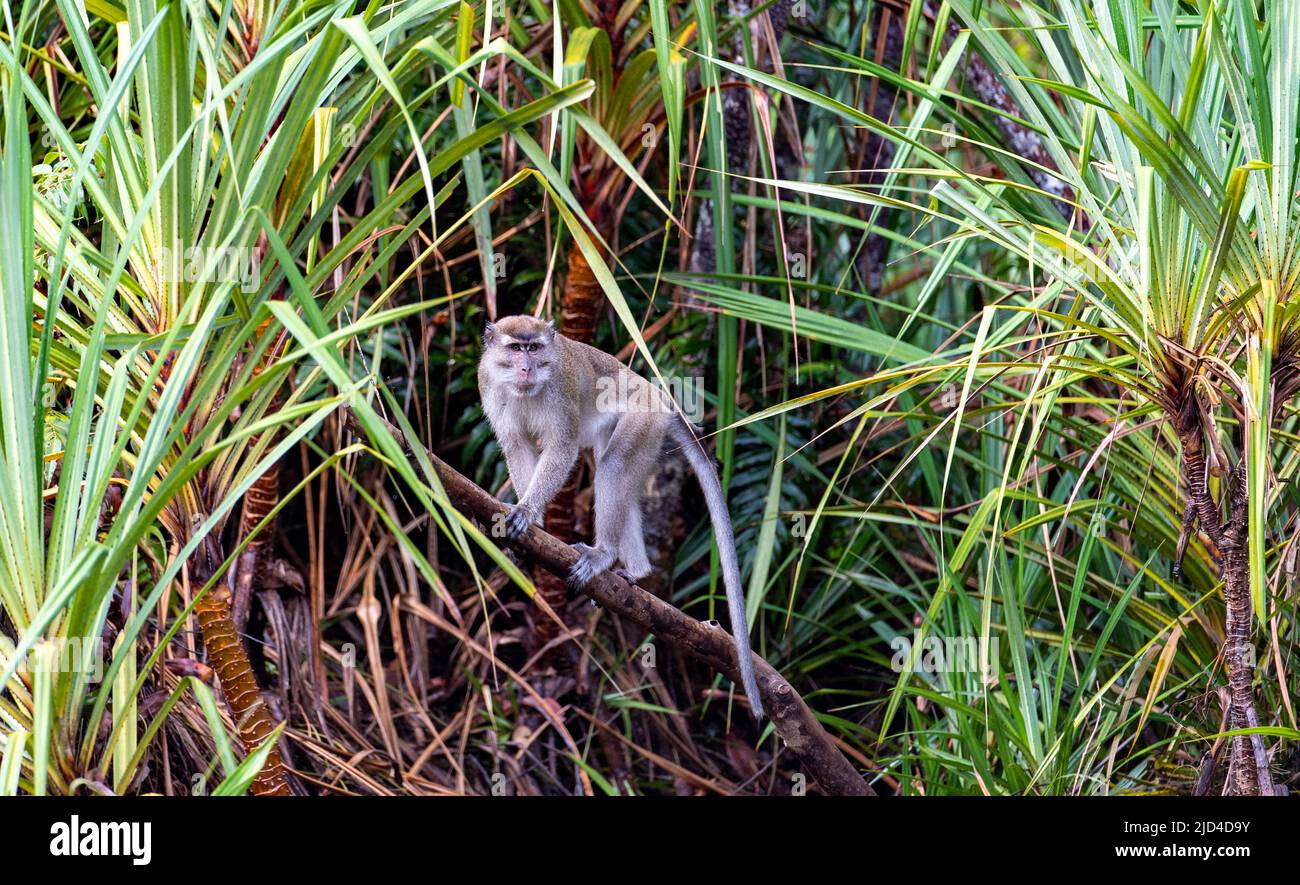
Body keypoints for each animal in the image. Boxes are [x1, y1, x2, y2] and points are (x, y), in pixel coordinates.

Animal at [478, 315, 764, 718]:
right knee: (613, 471)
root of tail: (658, 396)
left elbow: (562, 449)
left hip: (645, 420)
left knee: (612, 467)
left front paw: (527, 511)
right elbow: (517, 445)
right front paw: (531, 527)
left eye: (533, 348)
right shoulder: (488, 385)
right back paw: (638, 570)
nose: (526, 368)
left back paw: (605, 554)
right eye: (516, 348)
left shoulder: (560, 392)